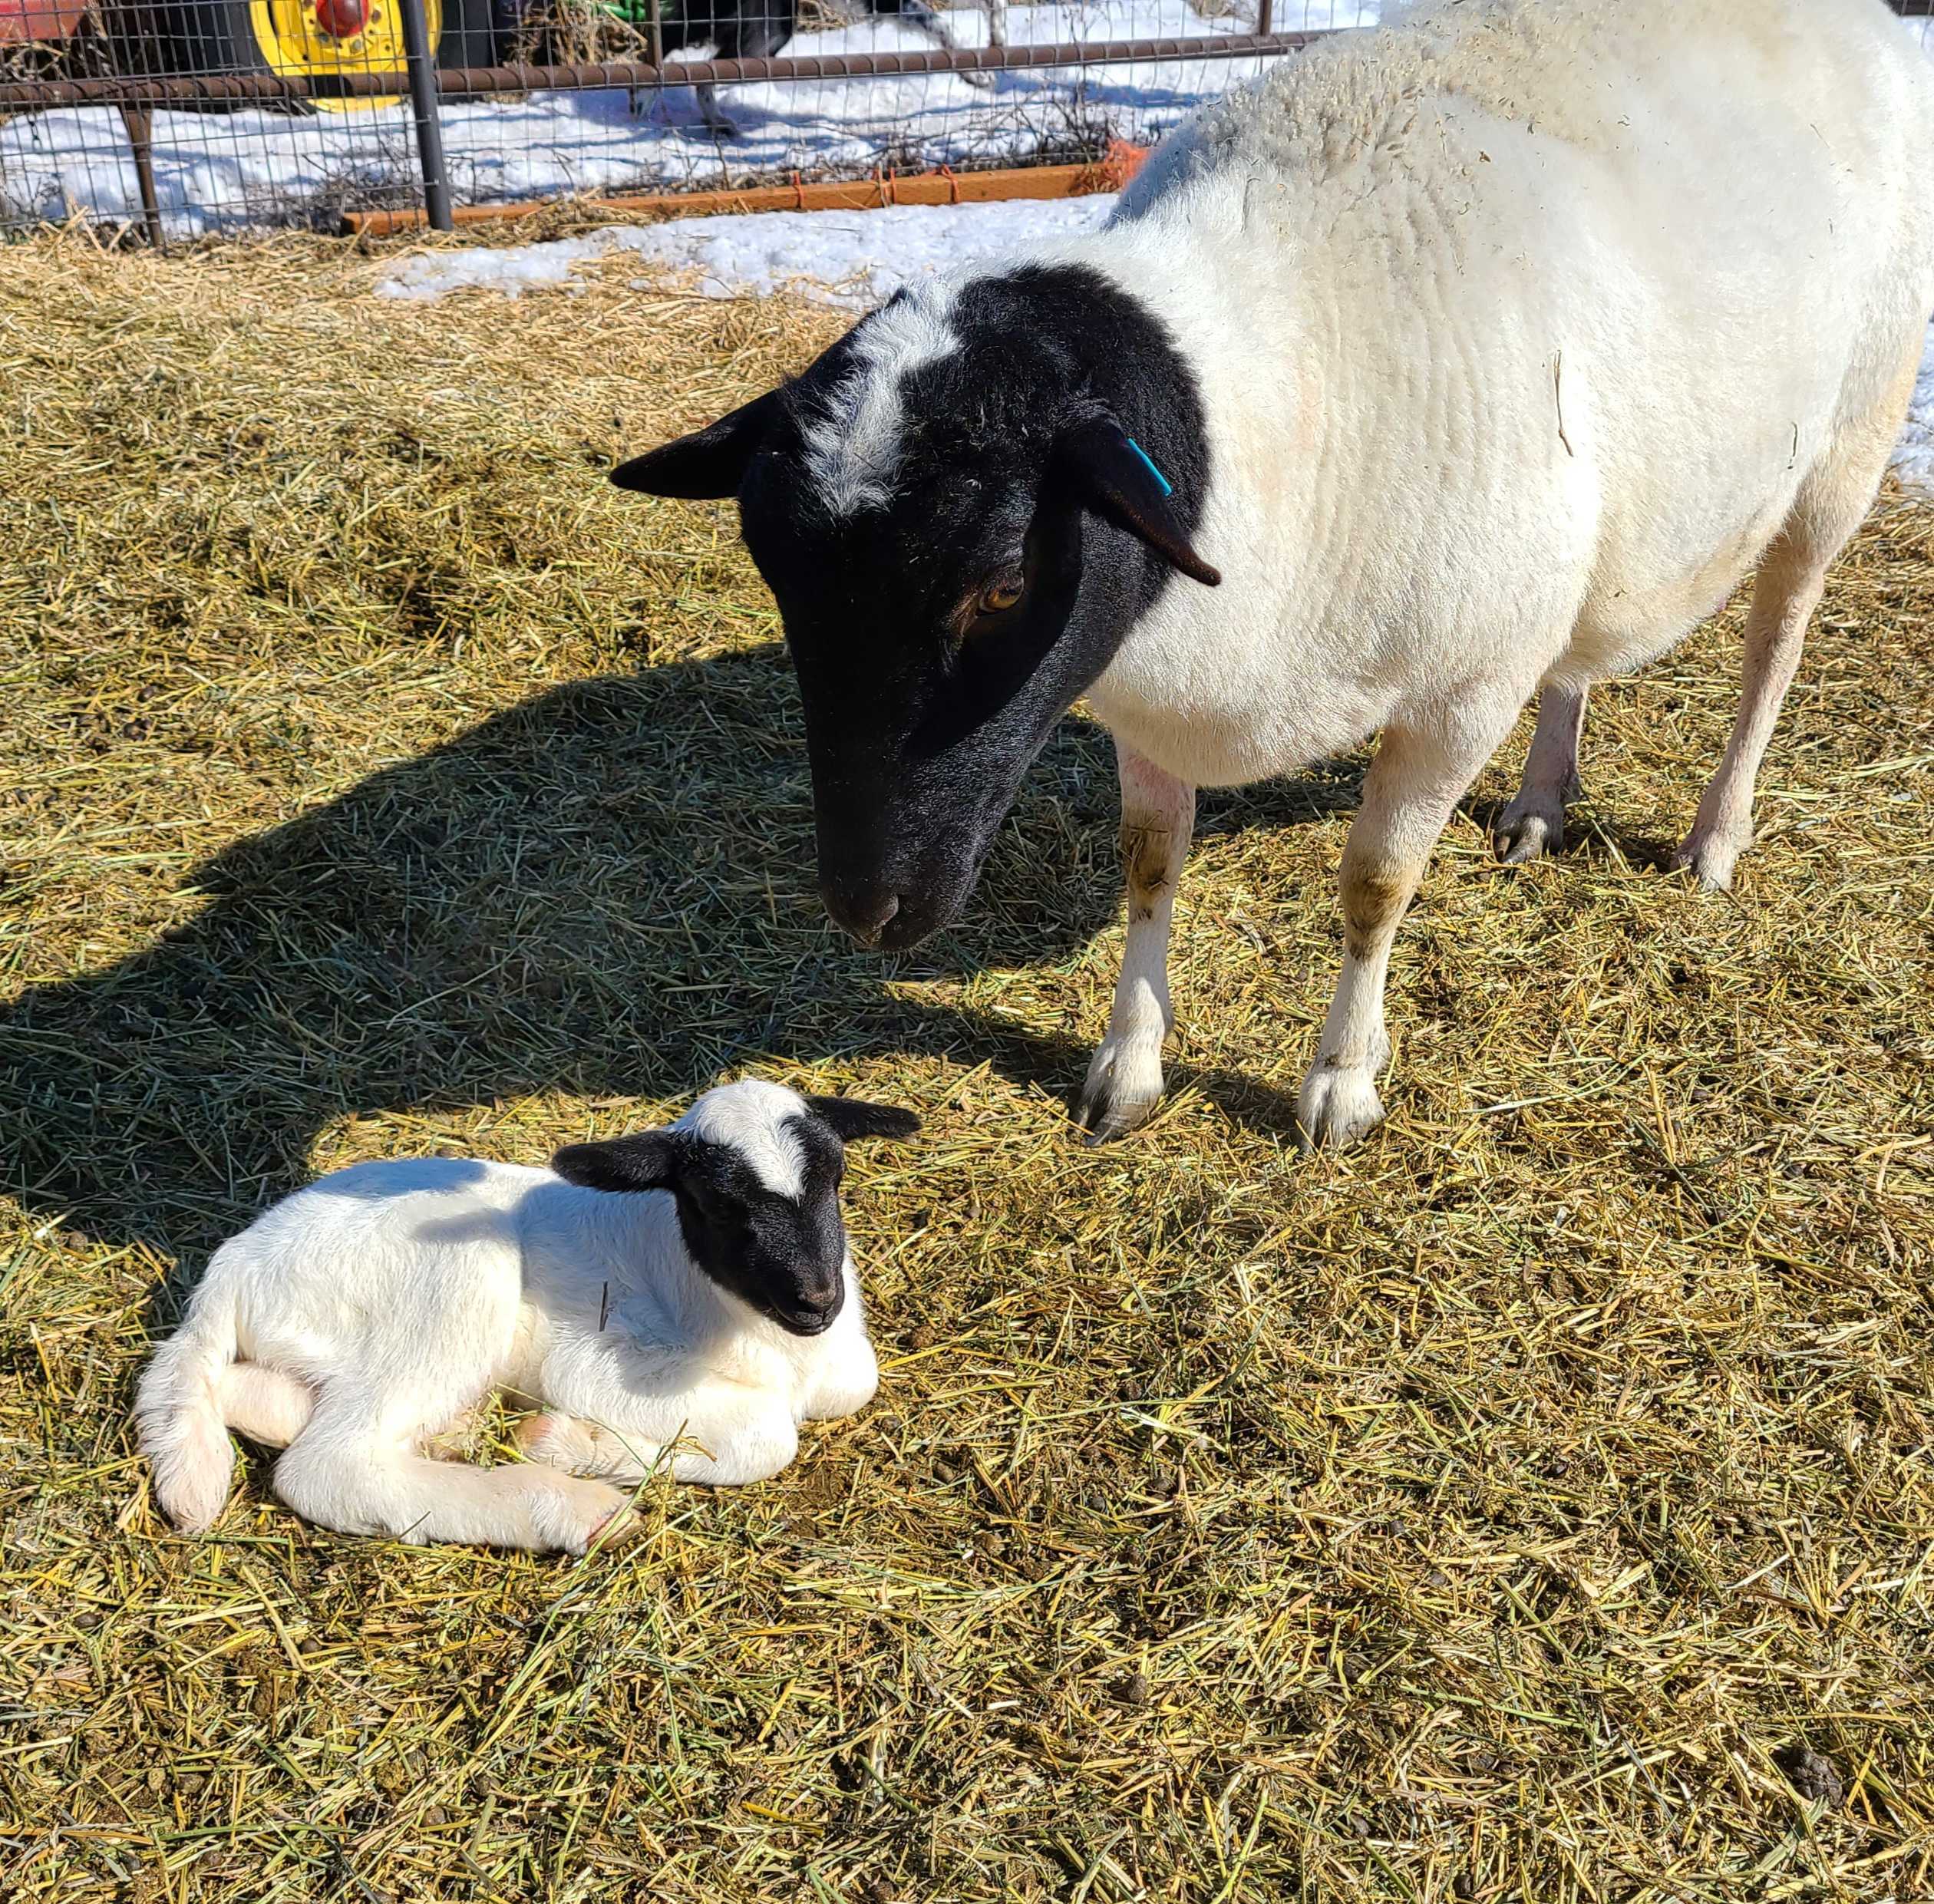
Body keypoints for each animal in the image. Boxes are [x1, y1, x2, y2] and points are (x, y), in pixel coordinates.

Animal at [134, 1082, 920, 1552]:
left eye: (836, 1179)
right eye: (716, 1203)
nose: (816, 1298)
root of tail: (232, 1266)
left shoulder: (841, 1359)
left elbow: (850, 1386)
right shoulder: (595, 1360)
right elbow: (769, 1434)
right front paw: (566, 1442)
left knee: (253, 1393)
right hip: (458, 1278)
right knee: (326, 1467)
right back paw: (570, 1509)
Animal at [608, 0, 1934, 1150]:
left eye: (1000, 587)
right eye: (778, 578)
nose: (868, 912)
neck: (1280, 405)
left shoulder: (1457, 694)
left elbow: (1376, 886)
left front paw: (1339, 1085)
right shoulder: (1152, 707)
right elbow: (1150, 862)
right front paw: (1127, 1069)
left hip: (1850, 436)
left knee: (1776, 642)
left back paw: (1717, 836)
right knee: (1581, 650)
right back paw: (1541, 801)